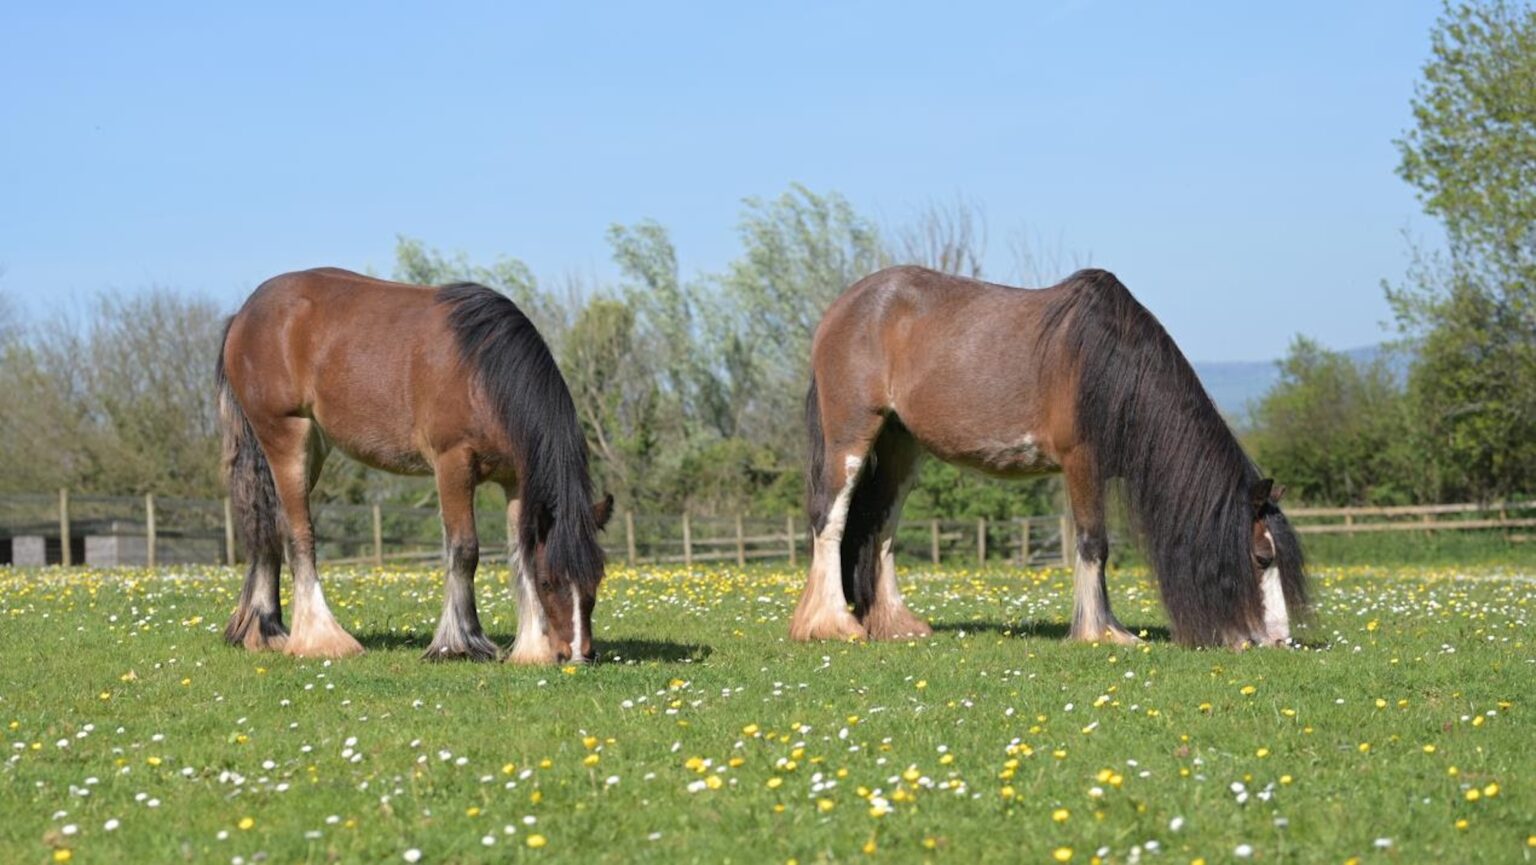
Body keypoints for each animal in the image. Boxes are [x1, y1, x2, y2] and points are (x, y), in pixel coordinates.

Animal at [215, 268, 612, 664]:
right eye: (549, 581)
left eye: (597, 579)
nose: (578, 655)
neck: (483, 374)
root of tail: (244, 315)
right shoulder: (453, 464)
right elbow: (464, 549)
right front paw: (460, 643)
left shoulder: (515, 479)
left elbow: (521, 552)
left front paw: (533, 648)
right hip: (286, 438)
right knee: (298, 532)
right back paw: (322, 638)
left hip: (312, 448)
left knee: (269, 525)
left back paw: (264, 631)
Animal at [794, 266, 1307, 648]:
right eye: (1262, 558)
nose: (1281, 640)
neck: (1109, 361)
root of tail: (842, 308)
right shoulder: (1081, 461)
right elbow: (1094, 543)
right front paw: (1102, 633)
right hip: (850, 437)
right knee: (830, 519)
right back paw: (832, 625)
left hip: (901, 445)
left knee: (880, 526)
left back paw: (897, 625)